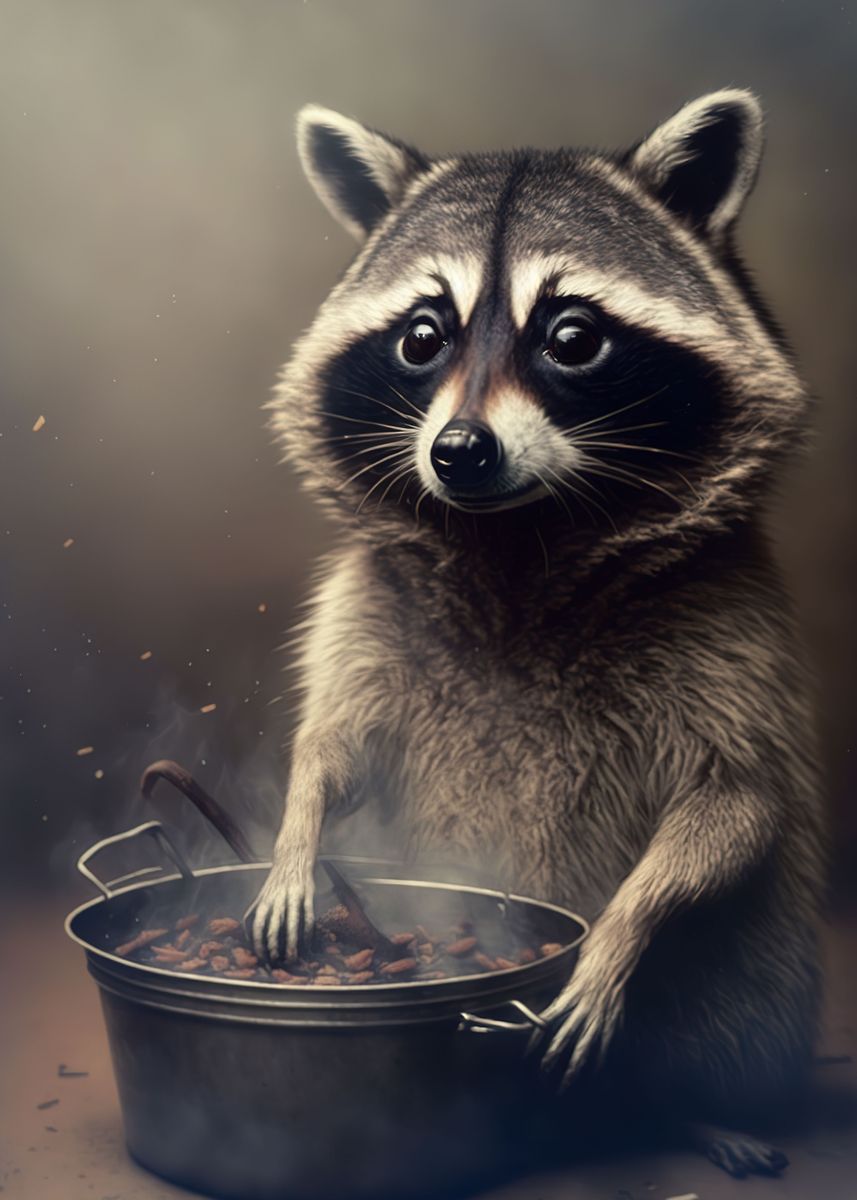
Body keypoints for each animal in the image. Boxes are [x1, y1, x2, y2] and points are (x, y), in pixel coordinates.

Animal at [250, 91, 826, 1176]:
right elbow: (331, 745)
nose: (459, 451)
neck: (516, 541)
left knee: (735, 987)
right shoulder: (367, 606)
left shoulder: (723, 626)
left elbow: (733, 803)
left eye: (571, 336)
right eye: (421, 336)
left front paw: (615, 937)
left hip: (760, 972)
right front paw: (292, 838)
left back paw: (690, 1105)